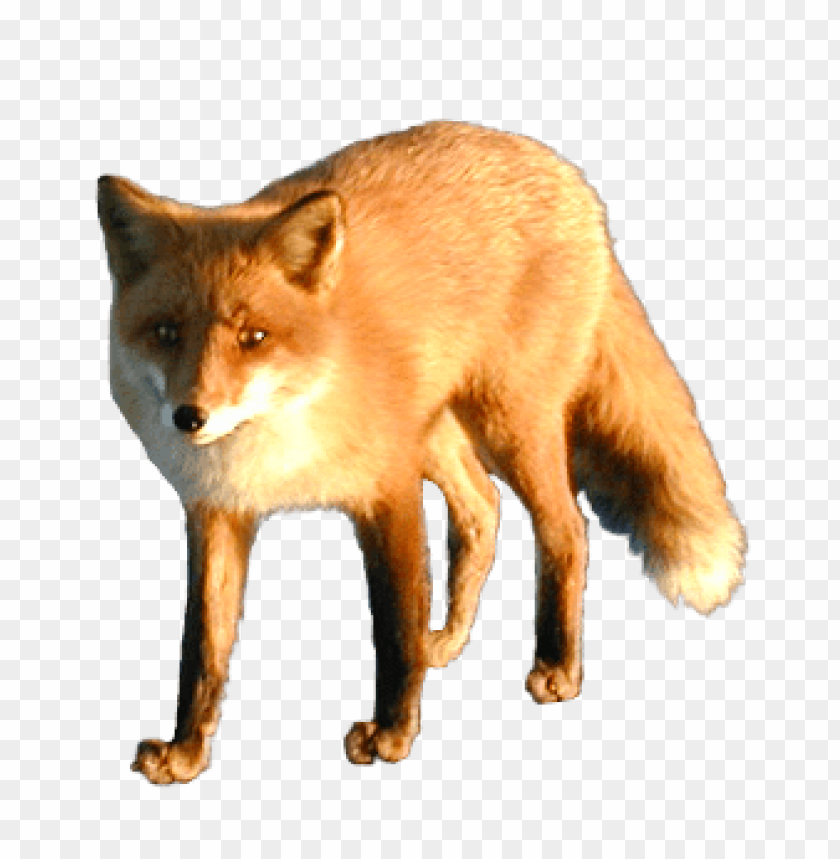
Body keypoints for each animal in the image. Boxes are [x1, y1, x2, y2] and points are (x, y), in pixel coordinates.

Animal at [98, 121, 746, 784]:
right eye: (166, 333)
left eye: (254, 337)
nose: (190, 417)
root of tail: (565, 172)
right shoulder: (218, 512)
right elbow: (203, 648)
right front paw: (186, 754)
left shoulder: (389, 490)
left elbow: (392, 625)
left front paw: (390, 736)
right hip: (438, 432)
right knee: (484, 511)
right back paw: (448, 642)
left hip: (509, 423)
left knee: (566, 527)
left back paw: (558, 667)